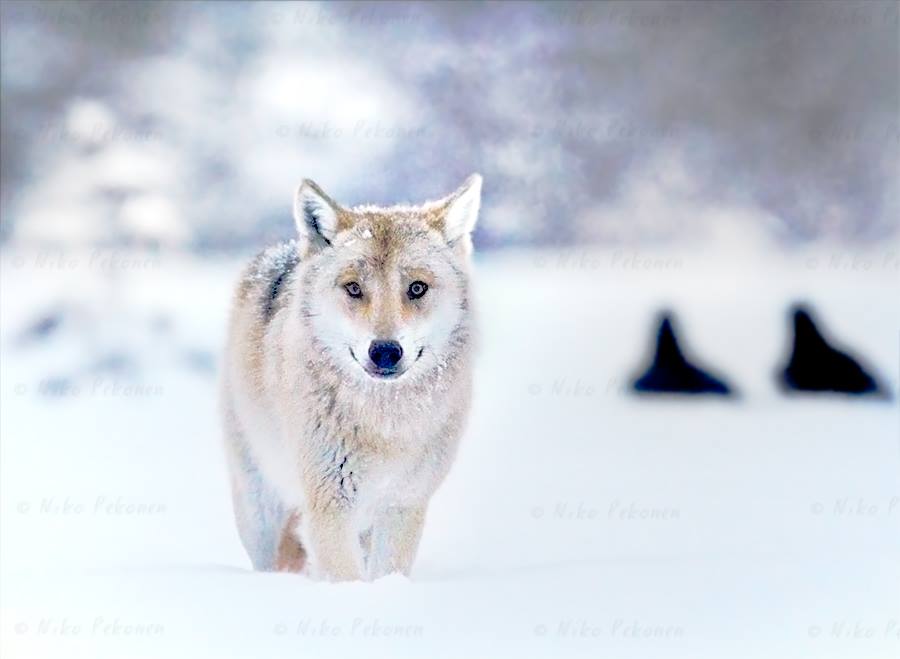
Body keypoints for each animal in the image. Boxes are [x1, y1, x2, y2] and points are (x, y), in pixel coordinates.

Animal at [220, 174, 481, 581]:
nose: (386, 351)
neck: (384, 426)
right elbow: (345, 577)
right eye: (354, 288)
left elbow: (388, 572)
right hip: (260, 506)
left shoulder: (403, 505)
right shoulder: (330, 504)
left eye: (417, 288)